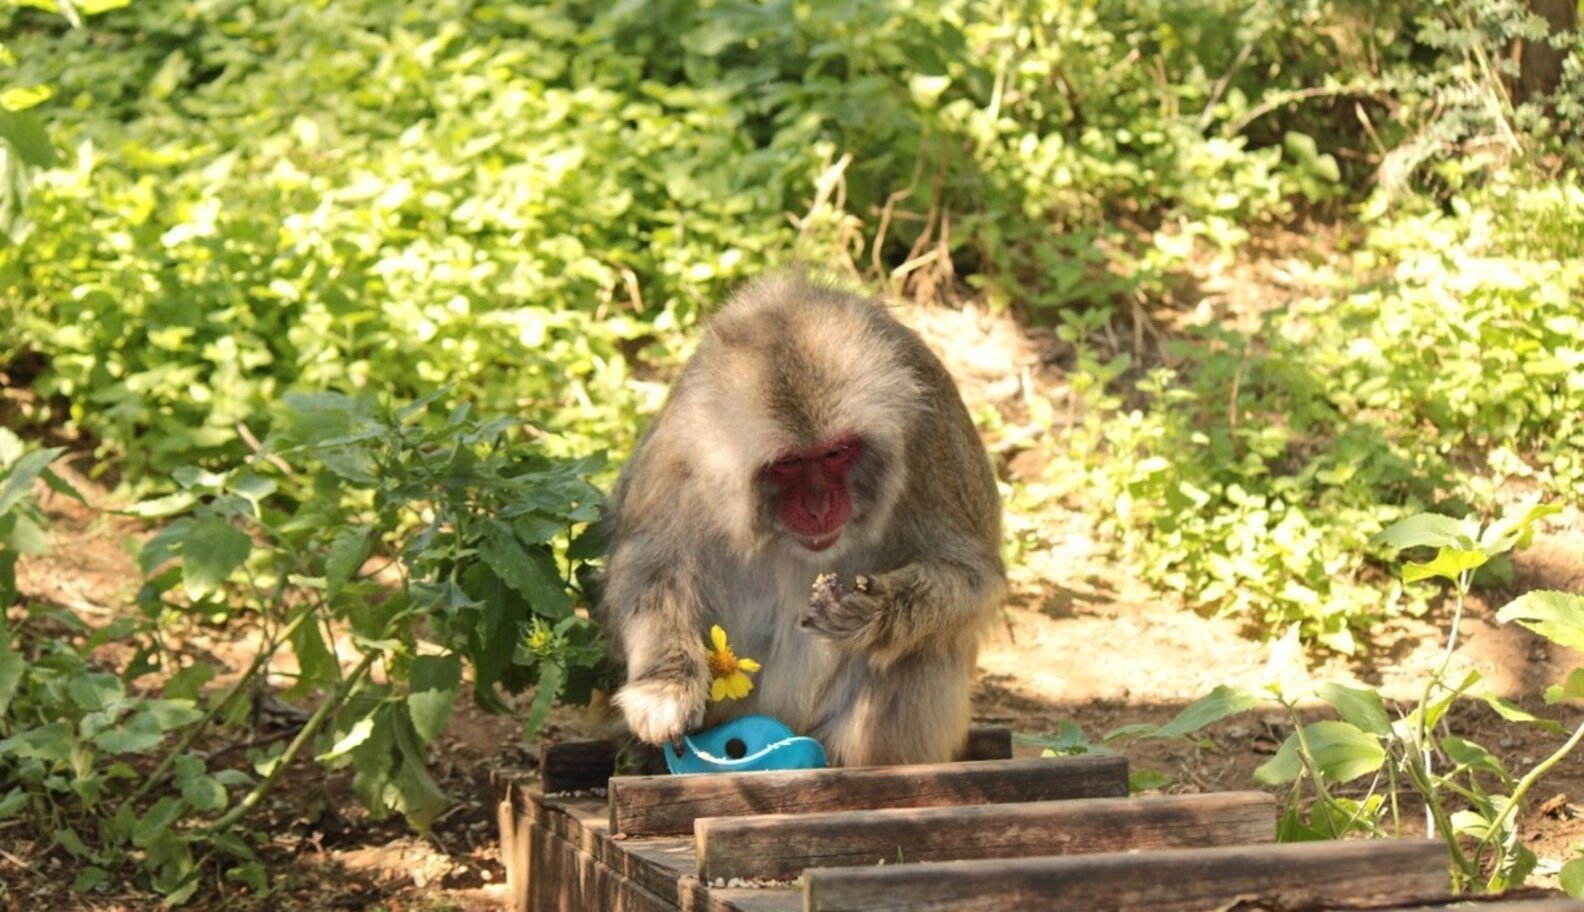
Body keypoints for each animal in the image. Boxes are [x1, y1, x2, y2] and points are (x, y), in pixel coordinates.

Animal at [596, 273, 1005, 766]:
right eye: (789, 463)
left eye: (837, 452)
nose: (819, 506)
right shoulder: (677, 453)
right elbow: (650, 570)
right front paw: (665, 687)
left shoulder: (933, 437)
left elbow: (972, 576)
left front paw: (873, 609)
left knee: (923, 647)